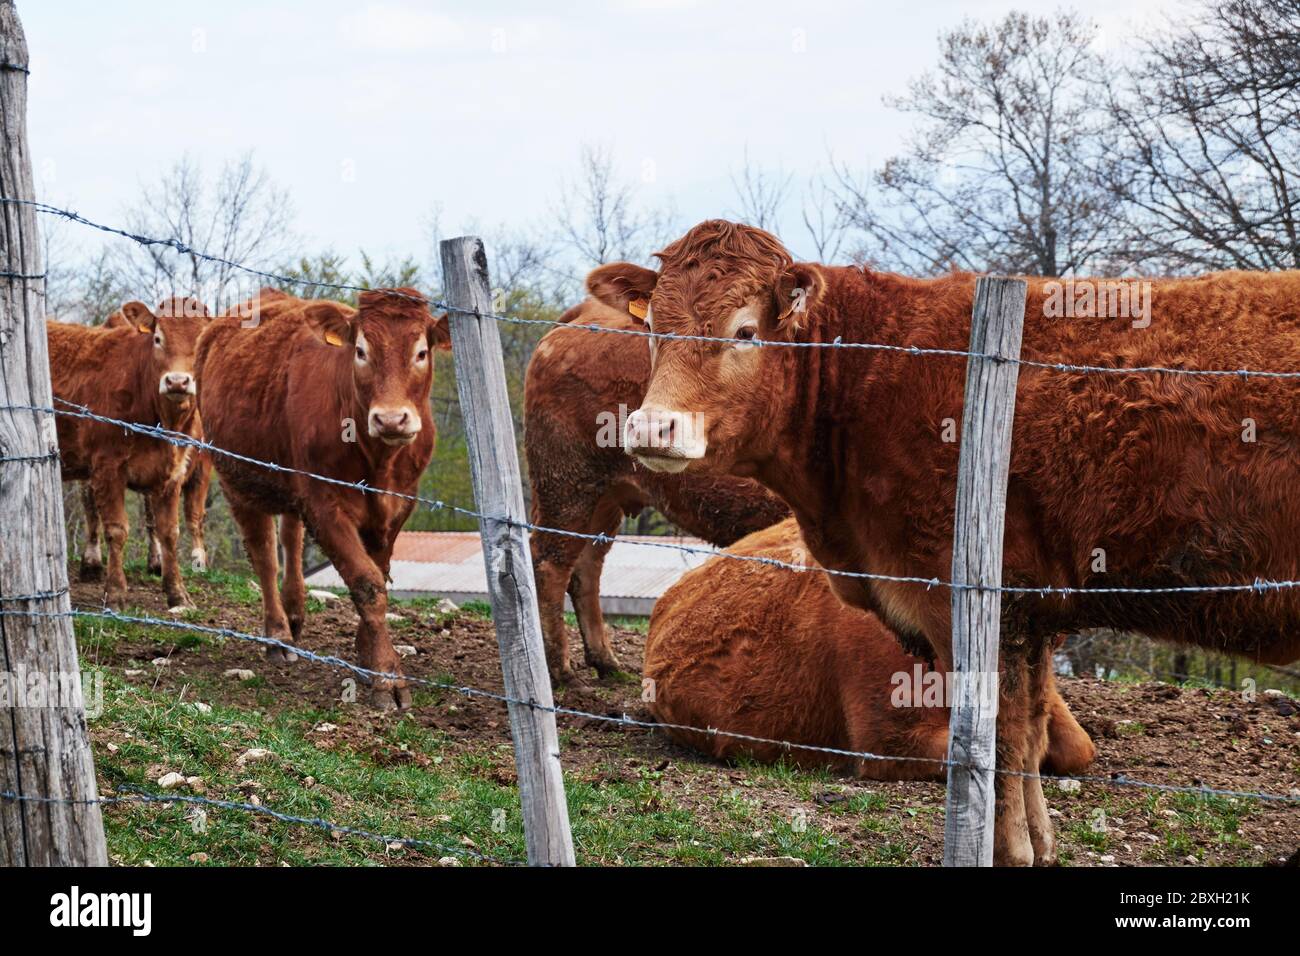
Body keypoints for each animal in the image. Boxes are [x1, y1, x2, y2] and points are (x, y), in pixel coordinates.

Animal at [48, 297, 210, 608]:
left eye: (200, 343)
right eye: (157, 339)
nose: (177, 382)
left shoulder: (172, 474)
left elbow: (169, 532)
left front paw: (178, 593)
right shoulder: (107, 467)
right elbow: (116, 529)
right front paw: (116, 593)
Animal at [195, 288, 450, 709]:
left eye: (421, 352)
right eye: (361, 351)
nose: (391, 419)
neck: (377, 459)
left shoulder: (398, 504)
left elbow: (378, 573)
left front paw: (367, 657)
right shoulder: (325, 504)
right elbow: (367, 583)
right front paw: (386, 677)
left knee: (290, 538)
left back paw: (295, 613)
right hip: (238, 479)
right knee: (264, 554)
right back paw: (278, 634)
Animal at [524, 297, 788, 681]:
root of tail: (589, 311)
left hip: (606, 496)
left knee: (586, 567)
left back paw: (605, 662)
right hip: (567, 483)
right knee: (550, 562)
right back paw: (560, 670)